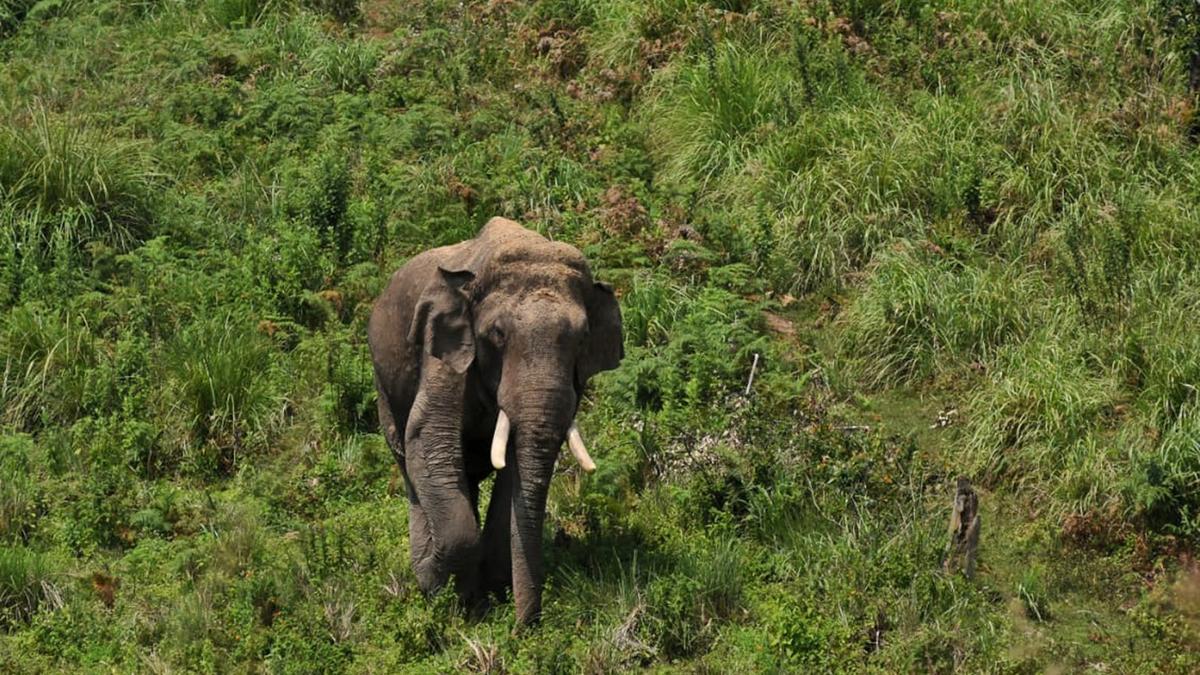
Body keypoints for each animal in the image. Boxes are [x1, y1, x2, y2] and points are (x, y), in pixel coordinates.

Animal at [367, 217, 623, 625]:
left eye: (582, 338)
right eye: (497, 334)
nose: (526, 627)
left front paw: (489, 595)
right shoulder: (443, 348)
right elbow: (426, 439)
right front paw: (441, 585)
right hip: (384, 387)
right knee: (411, 465)